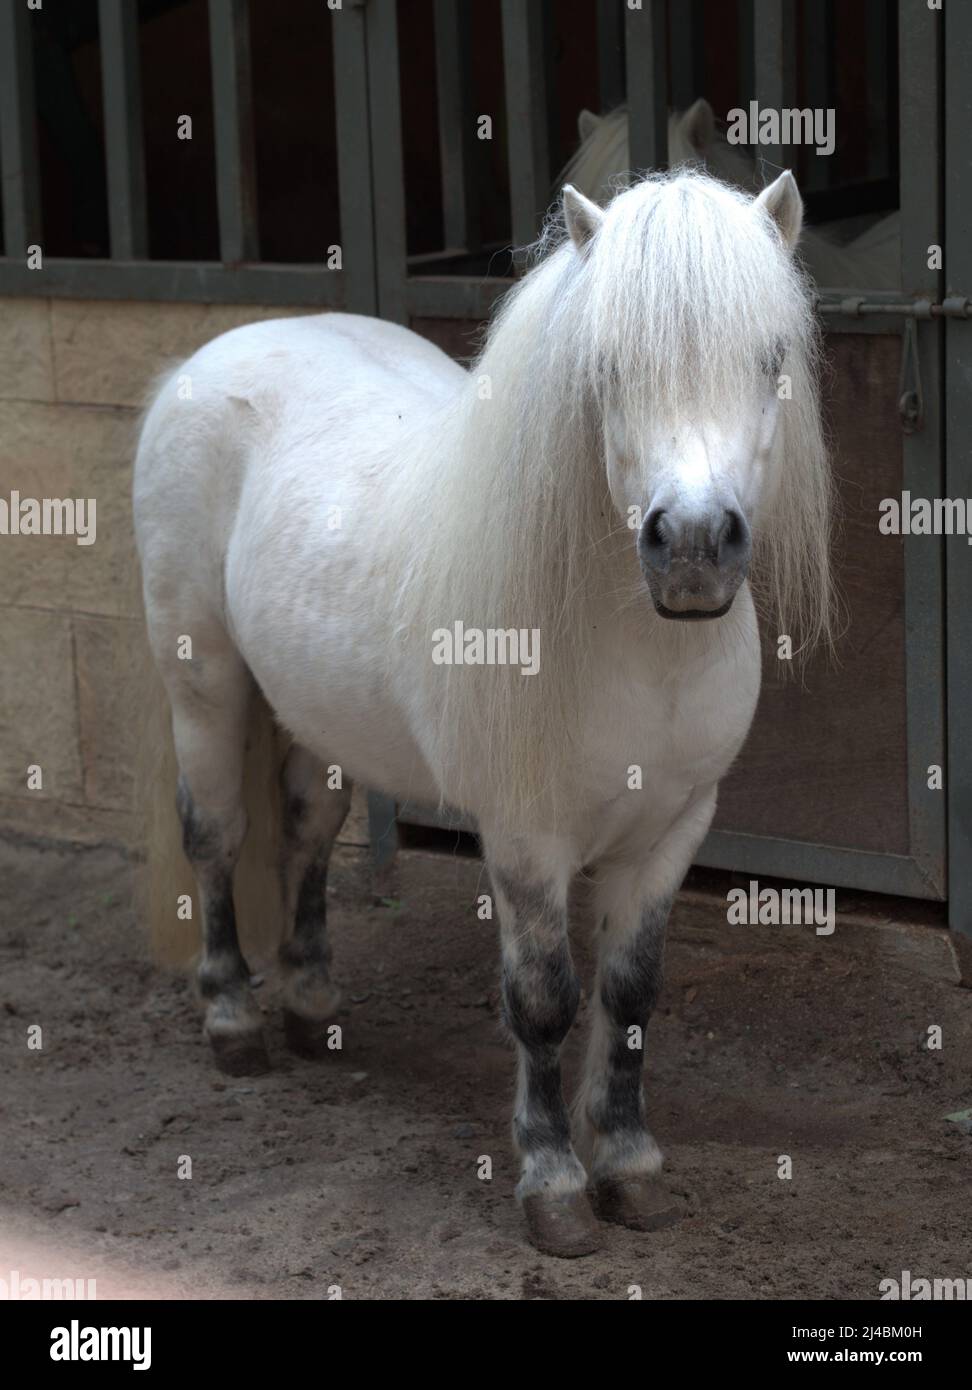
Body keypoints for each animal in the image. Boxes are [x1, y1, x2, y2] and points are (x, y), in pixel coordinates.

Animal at [133, 168, 833, 1258]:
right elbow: (544, 1000)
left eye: (770, 359)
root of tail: (207, 361)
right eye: (607, 367)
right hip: (203, 685)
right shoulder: (527, 839)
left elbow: (630, 993)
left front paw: (629, 1165)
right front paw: (553, 1186)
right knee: (216, 834)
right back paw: (235, 1022)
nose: (691, 548)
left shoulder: (672, 829)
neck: (643, 651)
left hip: (319, 716)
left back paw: (311, 1004)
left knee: (305, 829)